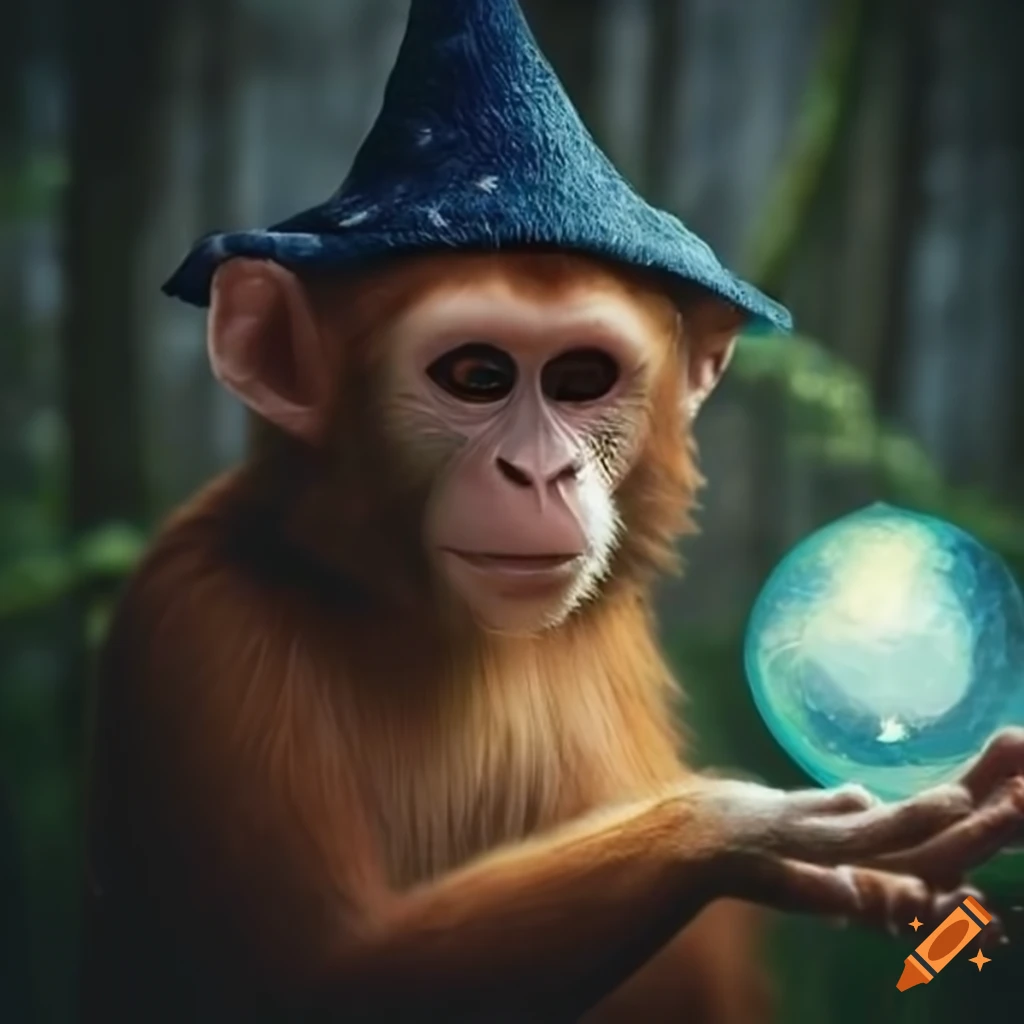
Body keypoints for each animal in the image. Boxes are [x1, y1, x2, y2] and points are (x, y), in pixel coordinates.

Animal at [82, 250, 1024, 1024]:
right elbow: (326, 979)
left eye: (580, 379)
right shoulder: (204, 623)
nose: (542, 471)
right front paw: (742, 831)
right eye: (476, 376)